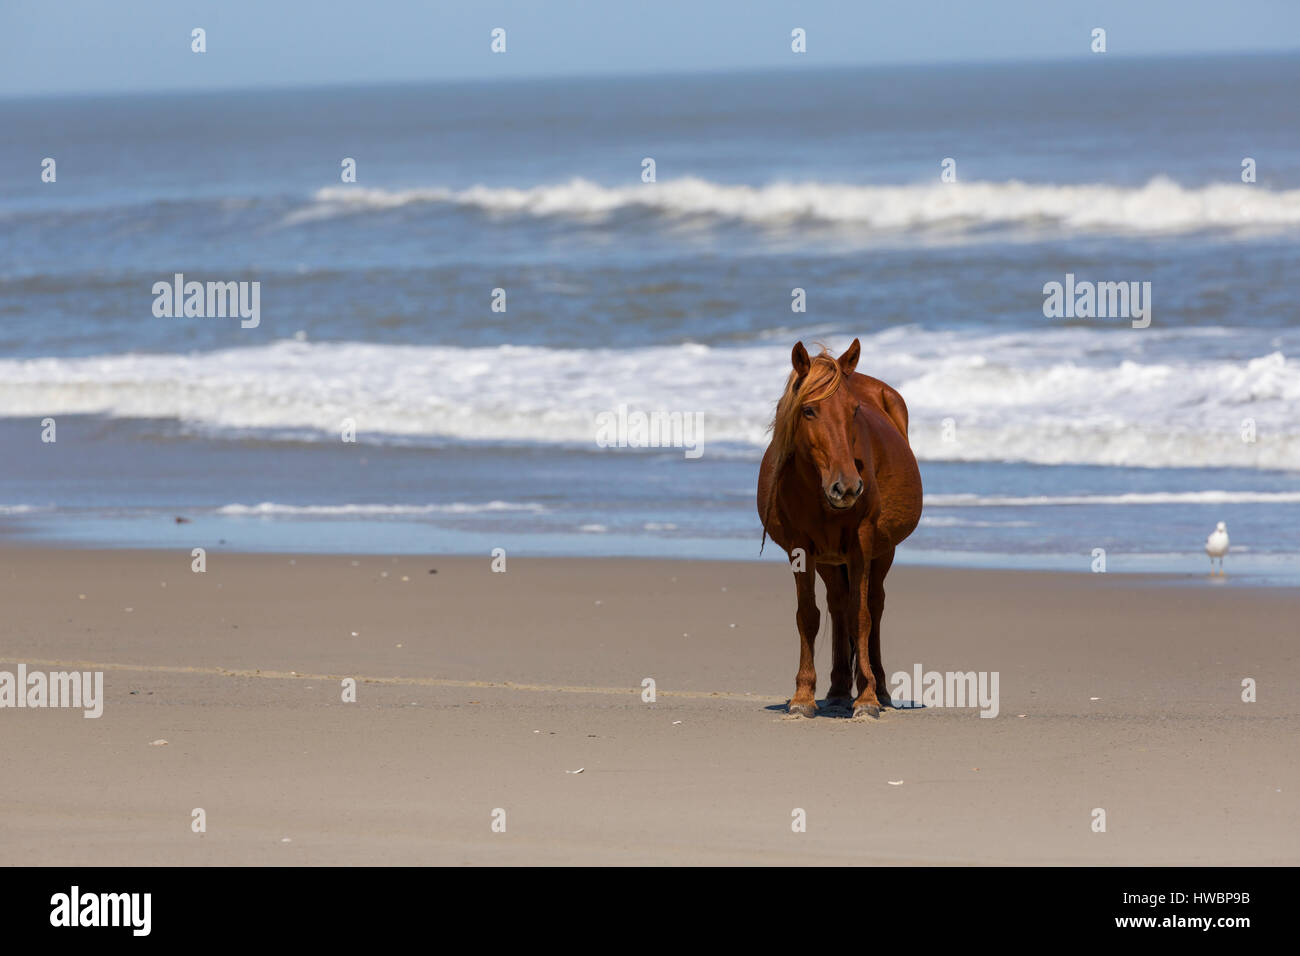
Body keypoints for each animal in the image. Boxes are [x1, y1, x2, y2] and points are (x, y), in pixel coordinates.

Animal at [756, 339, 923, 719]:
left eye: (854, 410)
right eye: (808, 411)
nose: (846, 487)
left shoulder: (862, 542)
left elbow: (860, 615)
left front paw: (868, 698)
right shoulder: (801, 547)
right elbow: (809, 615)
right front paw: (803, 696)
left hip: (882, 551)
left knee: (873, 605)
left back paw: (879, 689)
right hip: (830, 560)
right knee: (836, 604)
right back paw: (836, 690)